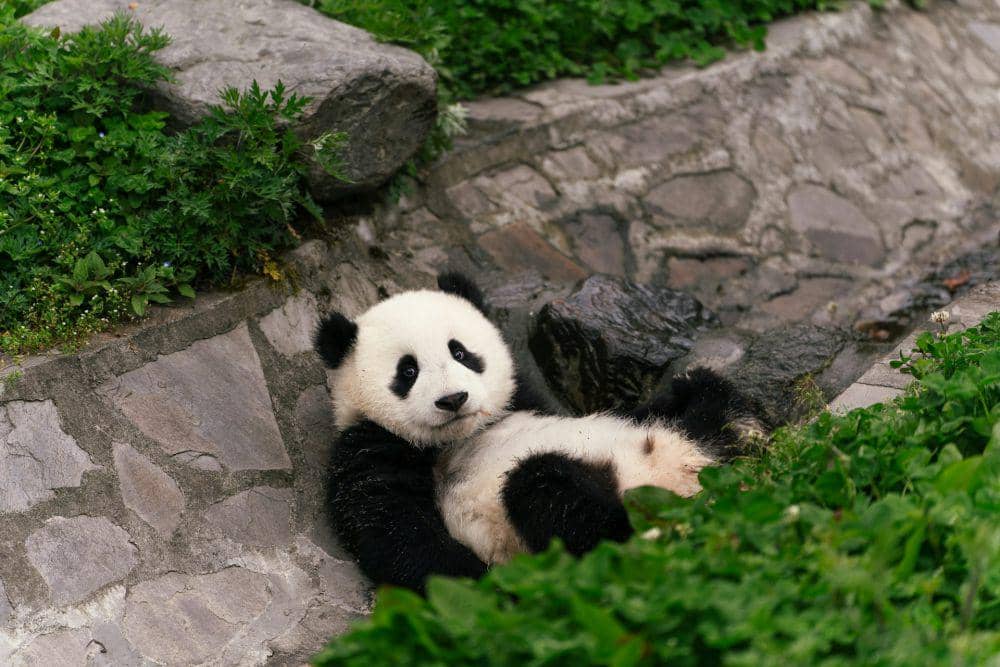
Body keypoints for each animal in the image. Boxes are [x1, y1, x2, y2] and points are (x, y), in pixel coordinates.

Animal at [315, 273, 765, 591]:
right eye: (407, 371)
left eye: (460, 352)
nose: (453, 399)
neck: (461, 436)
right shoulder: (370, 447)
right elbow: (397, 534)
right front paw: (484, 586)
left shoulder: (524, 399)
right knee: (545, 489)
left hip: (682, 442)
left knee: (698, 402)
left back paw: (729, 418)